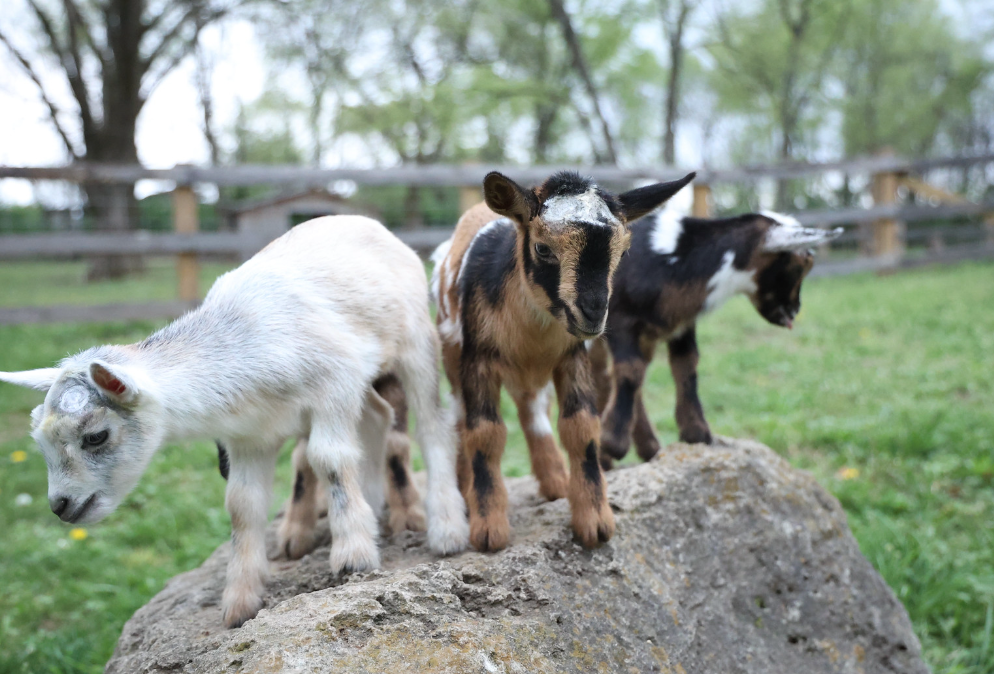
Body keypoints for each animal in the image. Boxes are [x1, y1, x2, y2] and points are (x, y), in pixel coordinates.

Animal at [0, 216, 468, 628]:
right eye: (39, 443)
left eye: (96, 436)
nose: (60, 506)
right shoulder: (248, 435)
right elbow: (243, 505)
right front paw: (241, 602)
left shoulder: (332, 386)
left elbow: (329, 459)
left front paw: (353, 555)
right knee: (377, 415)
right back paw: (371, 502)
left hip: (415, 341)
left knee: (432, 426)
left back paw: (447, 528)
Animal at [432, 170, 694, 551]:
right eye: (542, 248)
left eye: (624, 250)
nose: (594, 312)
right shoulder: (477, 359)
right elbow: (484, 431)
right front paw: (488, 530)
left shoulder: (573, 356)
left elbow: (581, 426)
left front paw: (595, 523)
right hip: (452, 358)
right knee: (463, 417)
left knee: (532, 411)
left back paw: (555, 482)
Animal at [589, 210, 842, 467]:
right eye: (800, 267)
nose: (795, 310)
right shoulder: (620, 320)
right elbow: (630, 371)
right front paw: (613, 443)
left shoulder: (680, 324)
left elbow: (686, 366)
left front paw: (696, 433)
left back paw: (645, 450)